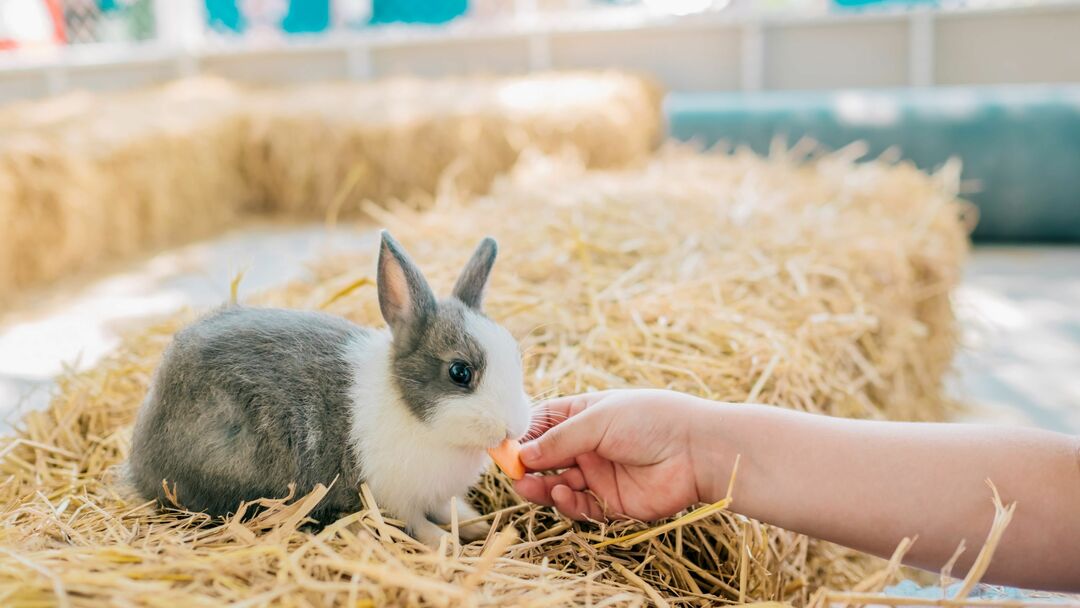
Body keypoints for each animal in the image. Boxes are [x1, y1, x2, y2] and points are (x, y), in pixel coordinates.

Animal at [128, 232, 533, 546]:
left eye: (516, 355)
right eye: (460, 372)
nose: (513, 427)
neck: (414, 415)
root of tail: (138, 461)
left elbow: (452, 510)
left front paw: (480, 525)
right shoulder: (394, 498)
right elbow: (419, 526)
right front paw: (447, 543)